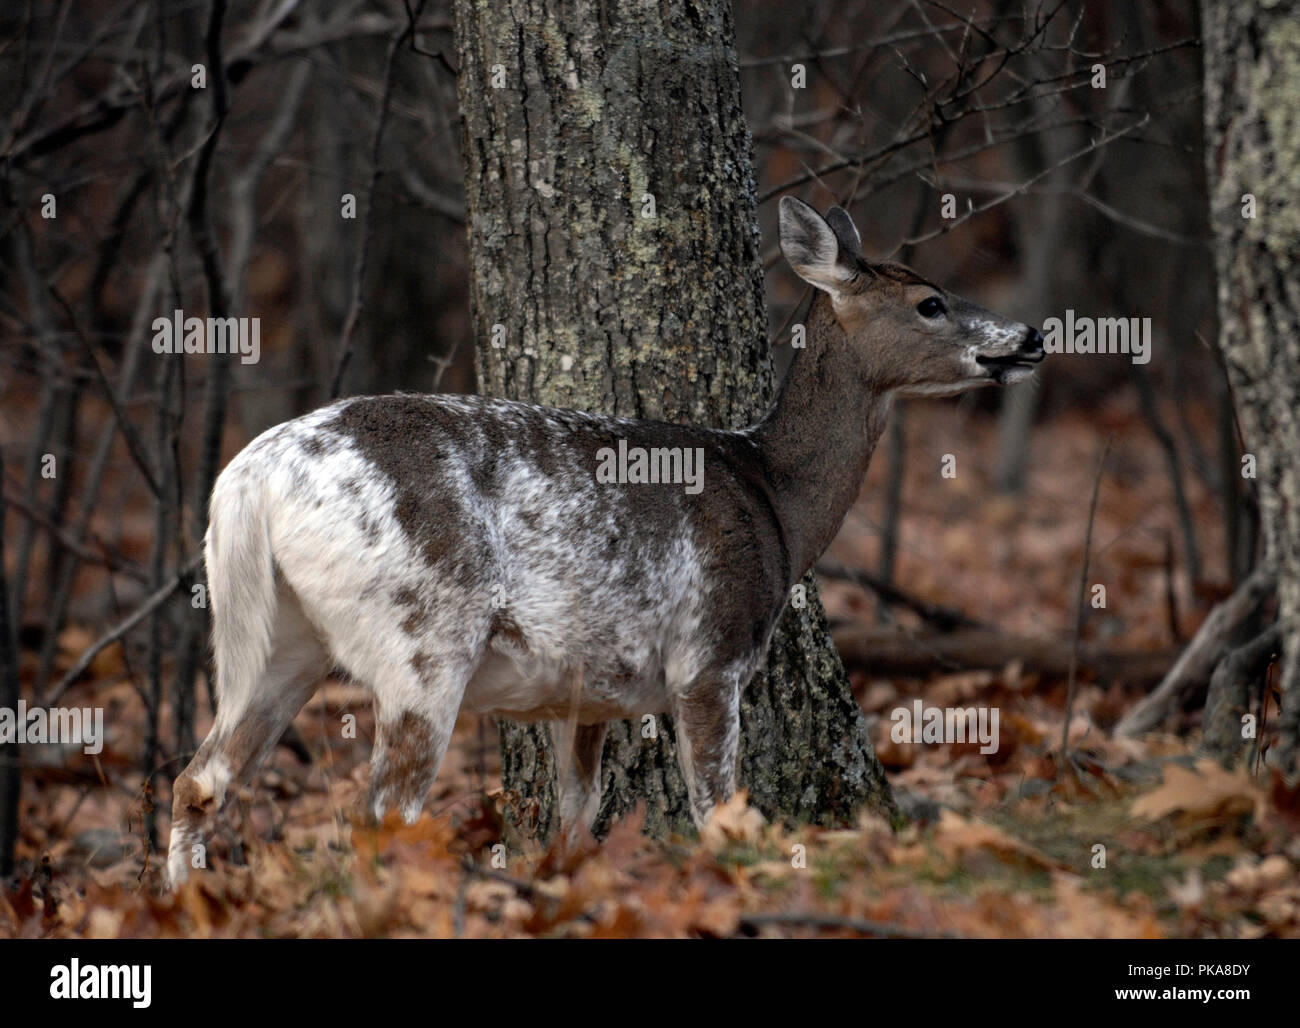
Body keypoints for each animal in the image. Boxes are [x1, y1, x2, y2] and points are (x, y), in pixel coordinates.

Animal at [166, 197, 1044, 887]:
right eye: (930, 302)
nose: (1032, 334)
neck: (774, 497)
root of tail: (251, 478)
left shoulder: (582, 686)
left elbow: (575, 815)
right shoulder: (710, 652)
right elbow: (715, 802)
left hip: (281, 635)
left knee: (200, 777)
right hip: (420, 632)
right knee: (381, 810)